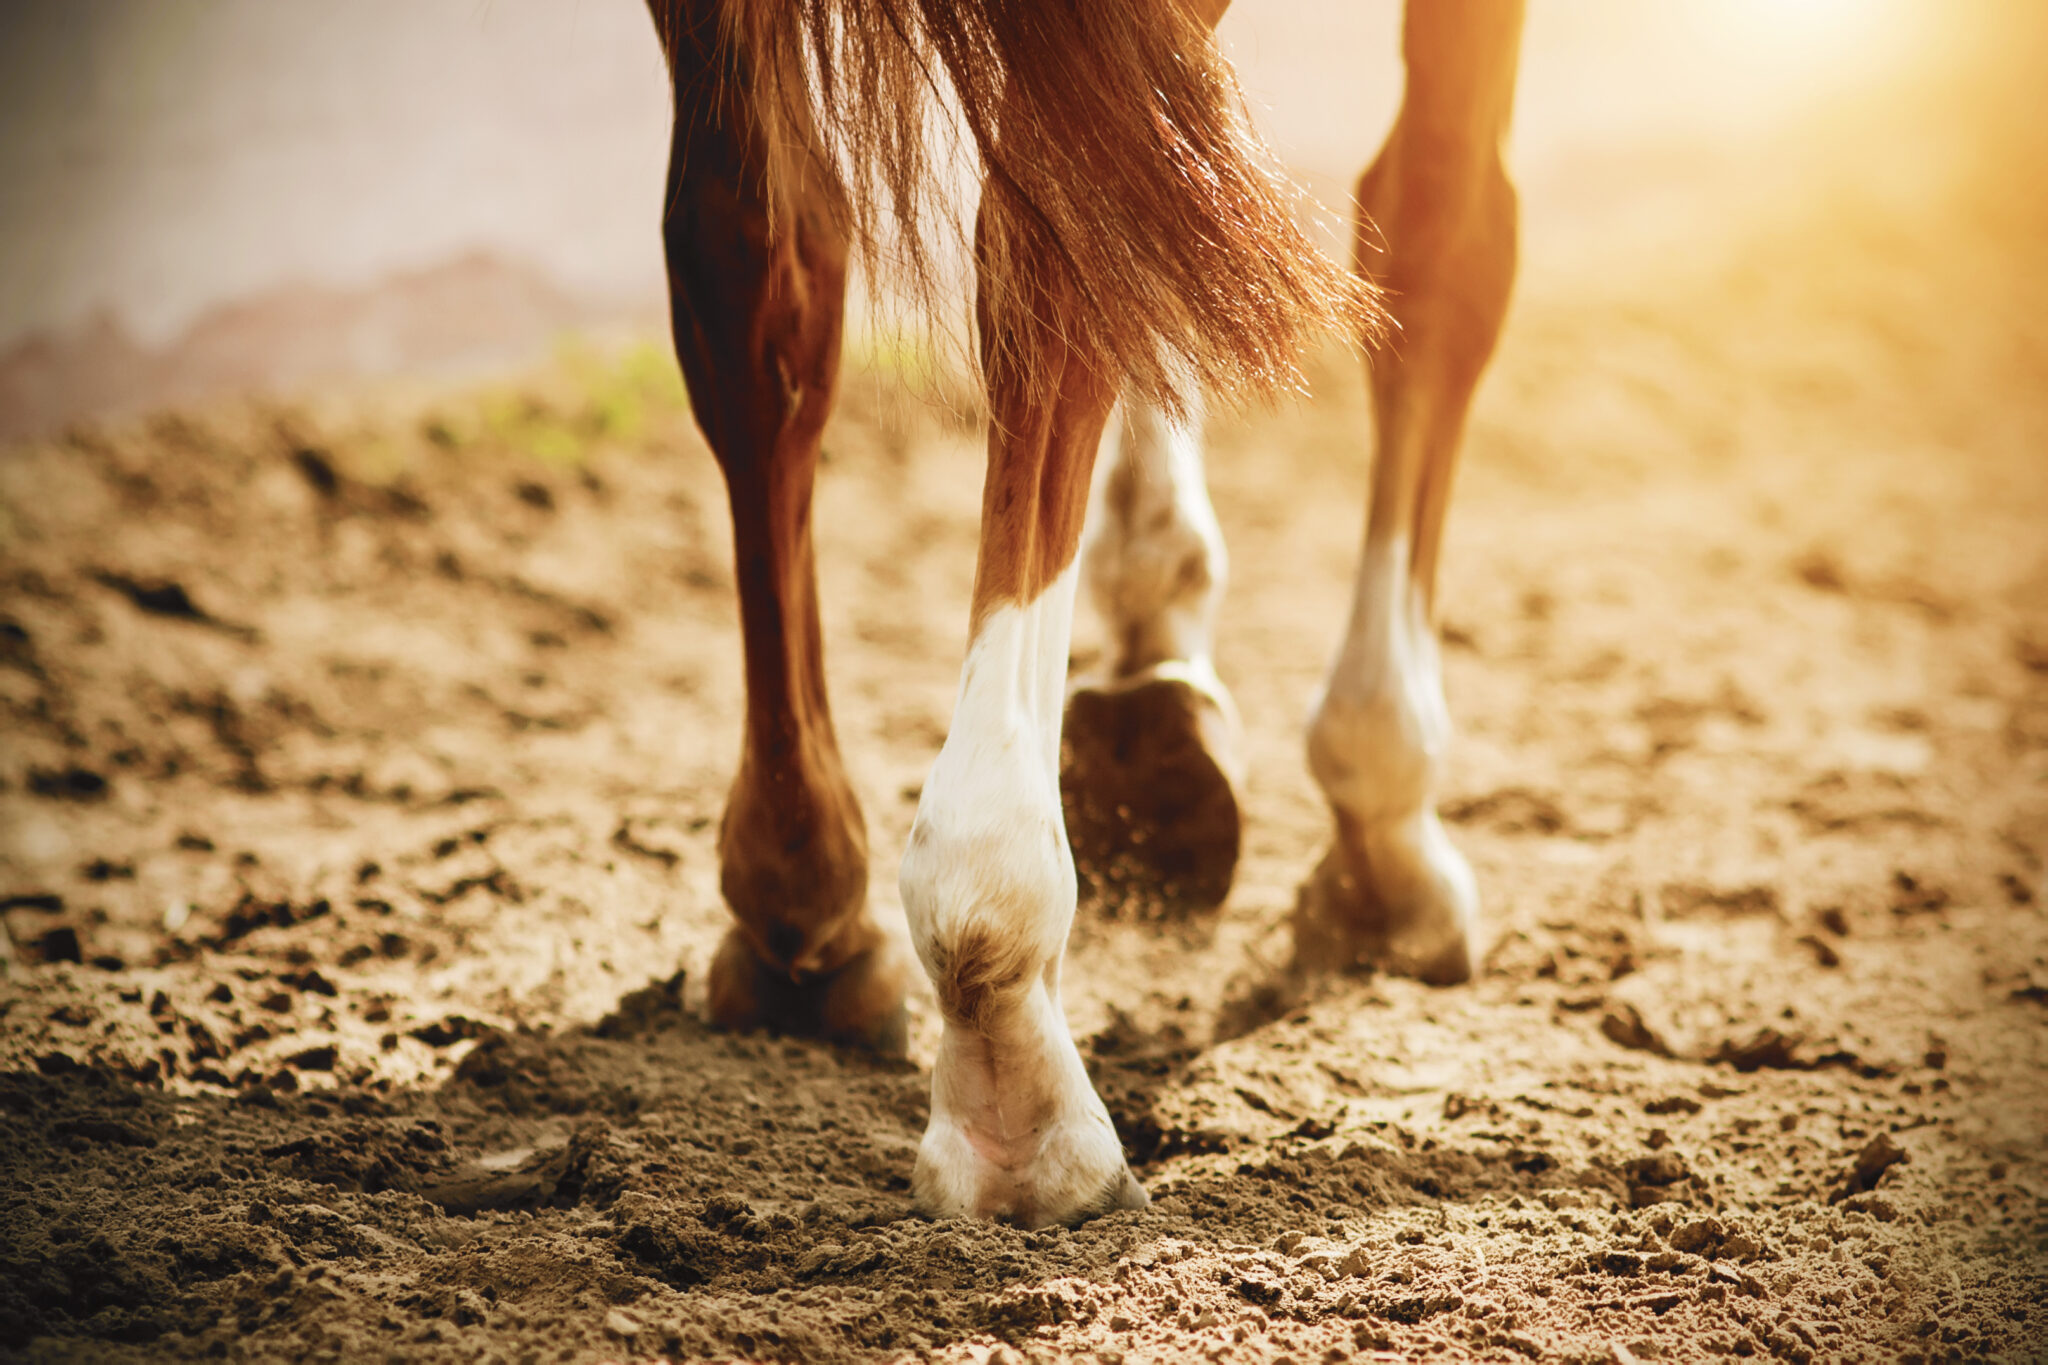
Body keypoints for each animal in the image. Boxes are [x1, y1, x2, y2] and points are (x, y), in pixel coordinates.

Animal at [643, 0, 1522, 1226]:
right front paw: (1382, 821)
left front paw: (1155, 627)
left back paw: (801, 895)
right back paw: (1005, 1041)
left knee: (758, 253)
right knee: (1048, 242)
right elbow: (1442, 226)